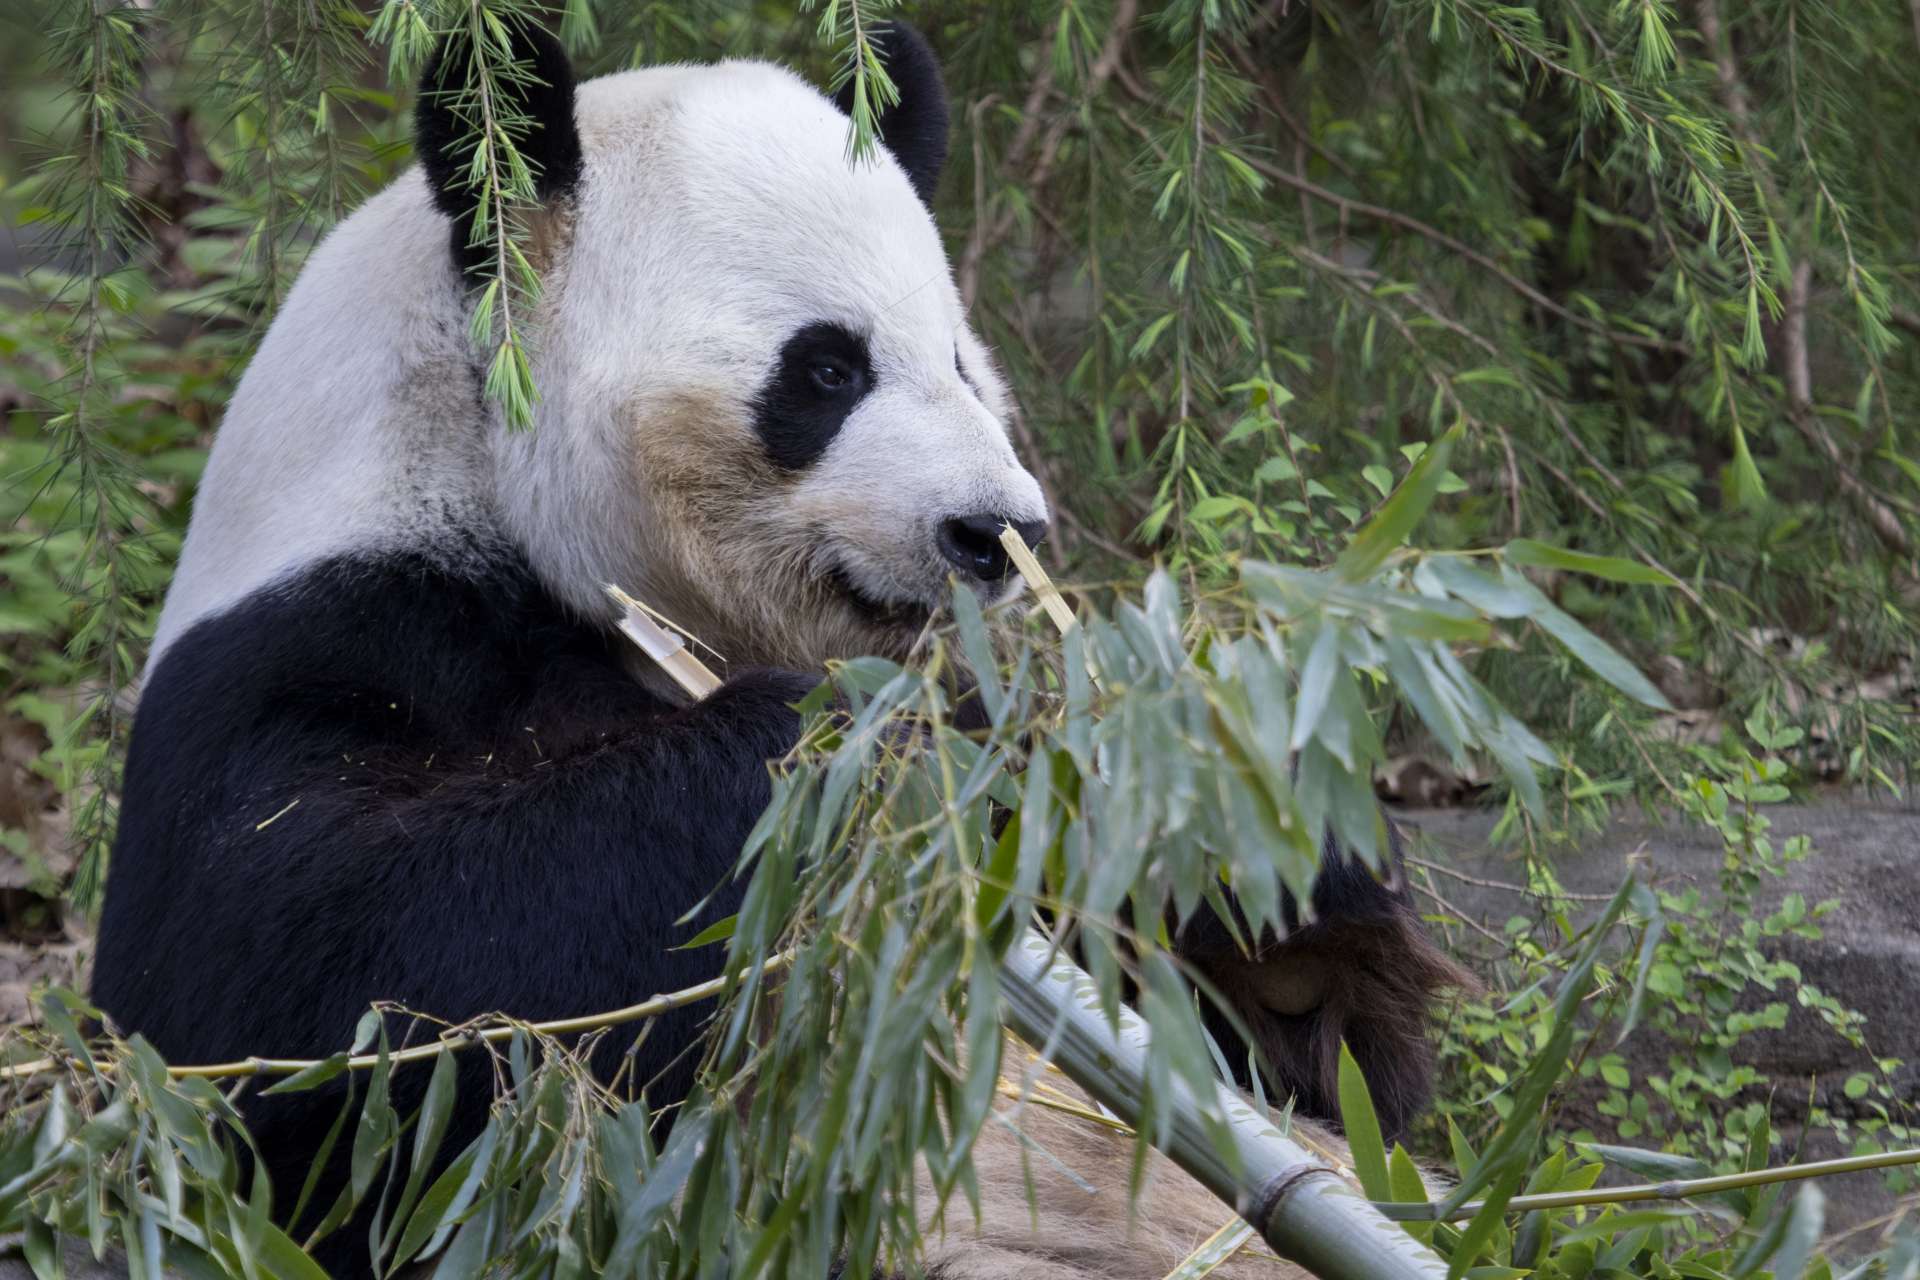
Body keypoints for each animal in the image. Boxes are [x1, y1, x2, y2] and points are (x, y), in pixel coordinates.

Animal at [89, 18, 1463, 1279]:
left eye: (960, 360)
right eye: (827, 368)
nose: (995, 531)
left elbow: (1310, 1060)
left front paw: (1251, 828)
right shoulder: (324, 637)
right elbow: (313, 1012)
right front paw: (830, 748)